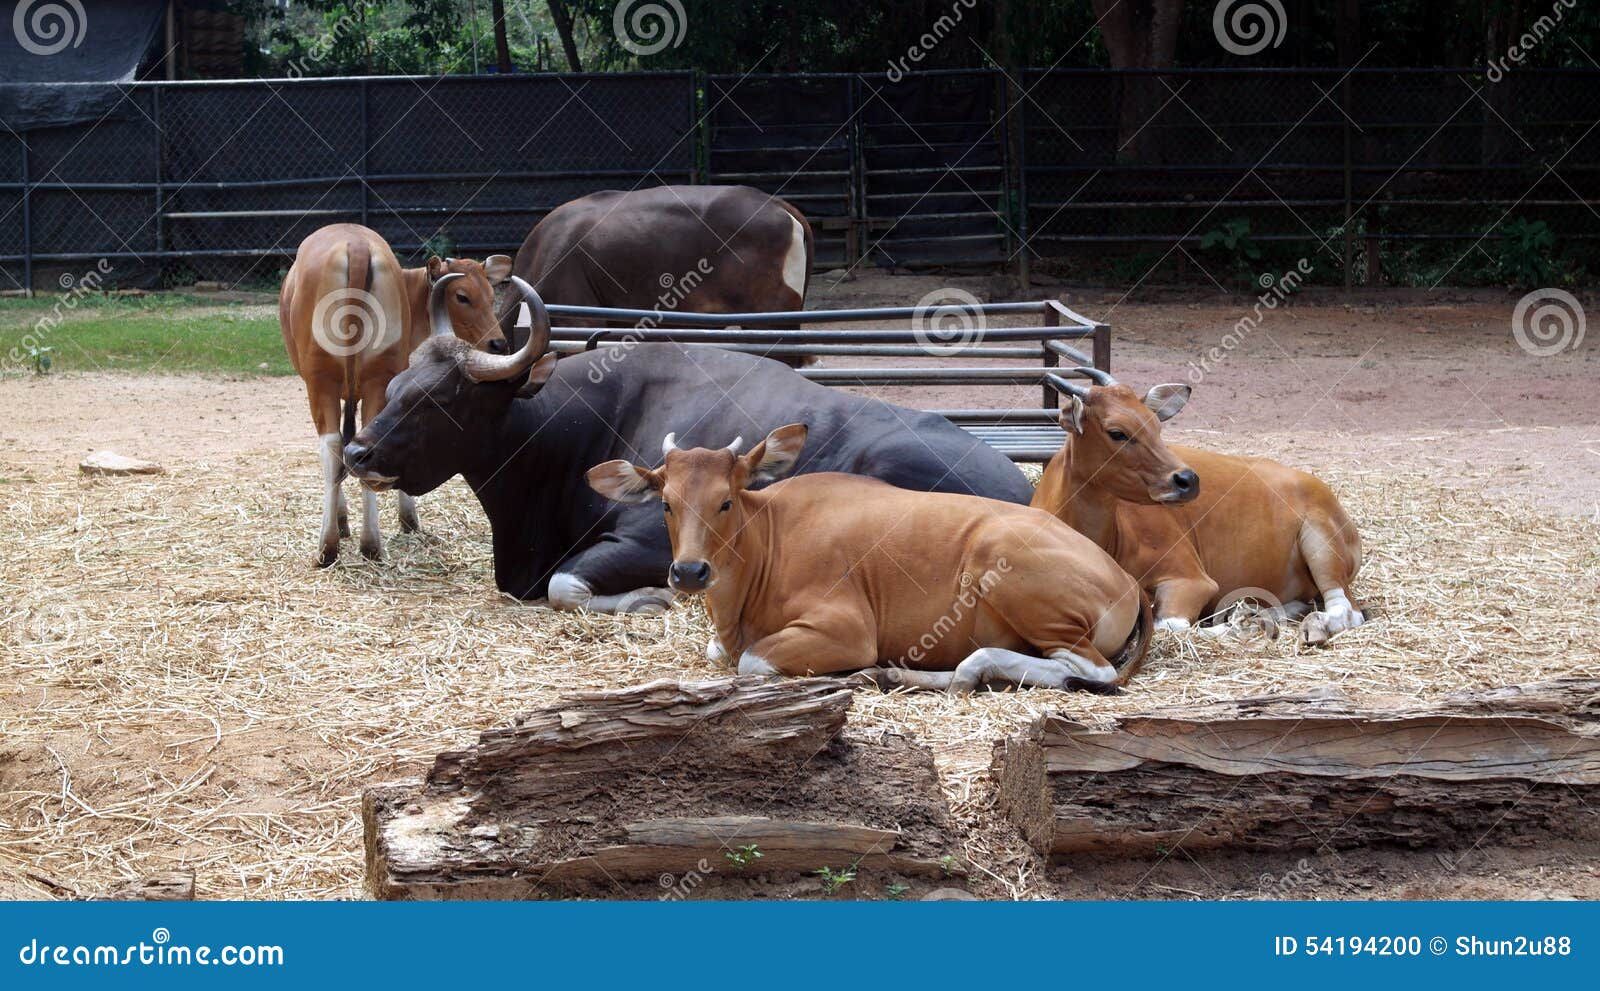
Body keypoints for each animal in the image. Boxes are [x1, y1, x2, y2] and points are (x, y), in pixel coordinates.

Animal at [279, 223, 512, 566]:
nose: (498, 343)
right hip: (362, 379)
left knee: (335, 448)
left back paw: (335, 546)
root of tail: (357, 246)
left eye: (491, 295)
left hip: (324, 381)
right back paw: (363, 544)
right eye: (462, 296)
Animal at [341, 284, 1035, 612]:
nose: (357, 454)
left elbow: (568, 584)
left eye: (440, 400)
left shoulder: (650, 542)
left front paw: (656, 597)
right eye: (395, 387)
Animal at [585, 426, 1153, 693]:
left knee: (1091, 670)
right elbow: (719, 653)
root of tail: (1126, 580)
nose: (689, 571)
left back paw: (964, 670)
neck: (770, 539)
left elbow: (750, 661)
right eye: (666, 503)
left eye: (725, 501)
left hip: (1009, 569)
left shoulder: (845, 629)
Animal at [1030, 367, 1365, 645]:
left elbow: (1171, 627)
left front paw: (1237, 624)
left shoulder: (1192, 580)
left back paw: (1311, 624)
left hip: (1323, 545)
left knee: (1347, 611)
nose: (1187, 480)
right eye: (1117, 432)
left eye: (1156, 427)